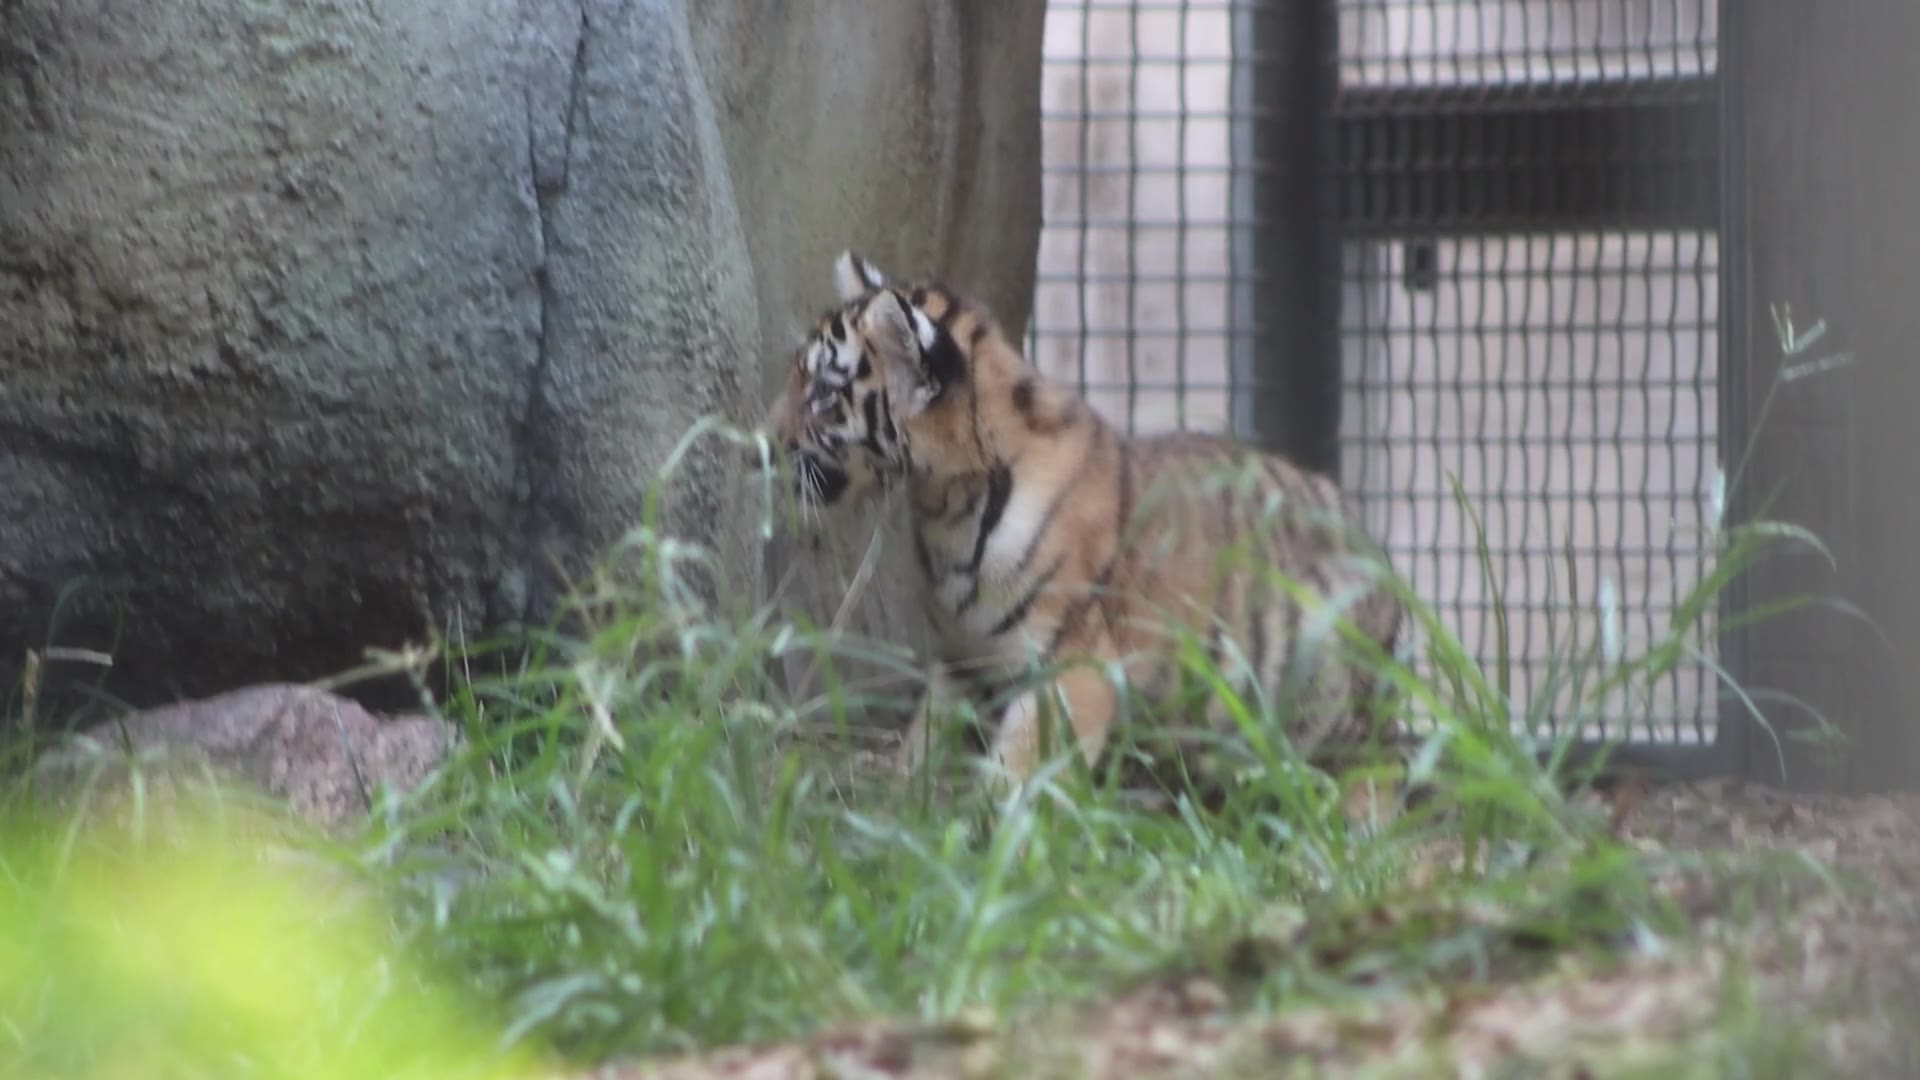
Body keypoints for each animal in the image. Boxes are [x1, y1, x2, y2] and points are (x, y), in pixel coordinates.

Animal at [760, 250, 1410, 805]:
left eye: (823, 392)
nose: (763, 441)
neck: (945, 505)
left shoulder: (1072, 666)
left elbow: (1020, 776)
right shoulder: (960, 661)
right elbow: (923, 745)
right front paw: (901, 809)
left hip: (1328, 693)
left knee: (1381, 760)